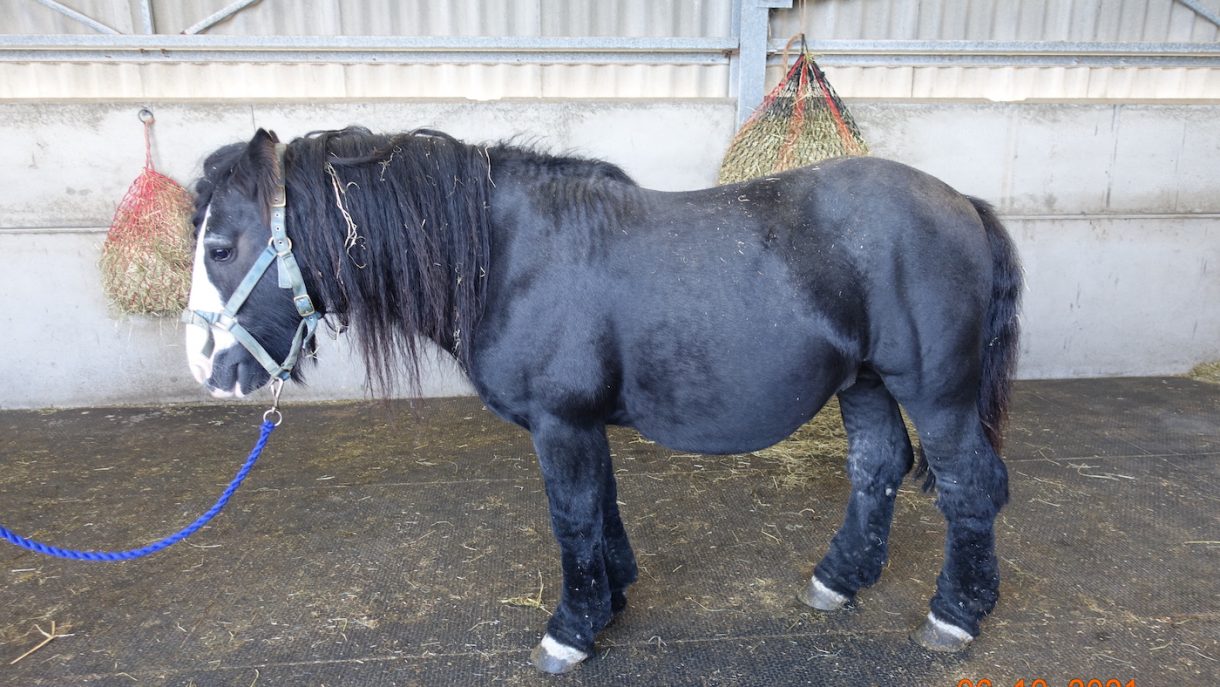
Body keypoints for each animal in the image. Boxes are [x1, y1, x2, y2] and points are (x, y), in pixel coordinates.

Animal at [182, 126, 1022, 674]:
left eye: (220, 246)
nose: (207, 369)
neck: (505, 256)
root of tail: (963, 203)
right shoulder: (583, 423)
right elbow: (603, 505)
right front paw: (611, 598)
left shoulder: (561, 423)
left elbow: (574, 514)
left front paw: (570, 630)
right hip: (867, 382)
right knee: (877, 465)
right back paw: (838, 579)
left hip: (937, 393)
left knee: (968, 486)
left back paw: (955, 615)